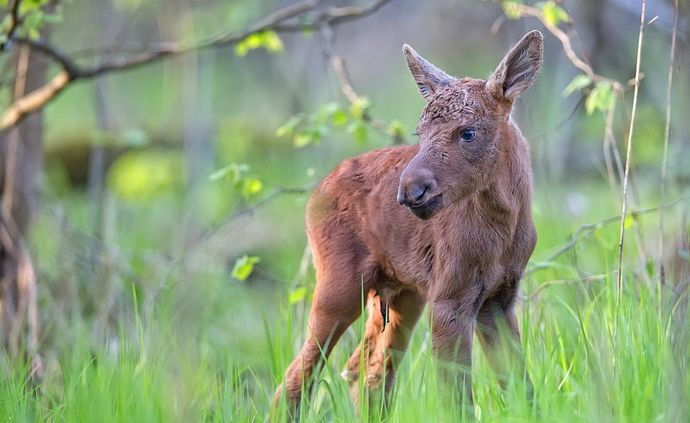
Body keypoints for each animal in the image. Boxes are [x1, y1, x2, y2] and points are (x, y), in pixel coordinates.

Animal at [273, 30, 543, 414]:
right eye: (420, 132)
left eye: (468, 132)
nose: (411, 191)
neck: (505, 227)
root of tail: (314, 195)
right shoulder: (449, 297)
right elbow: (457, 397)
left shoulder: (499, 298)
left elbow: (522, 387)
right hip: (340, 286)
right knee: (298, 376)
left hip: (400, 294)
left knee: (365, 371)